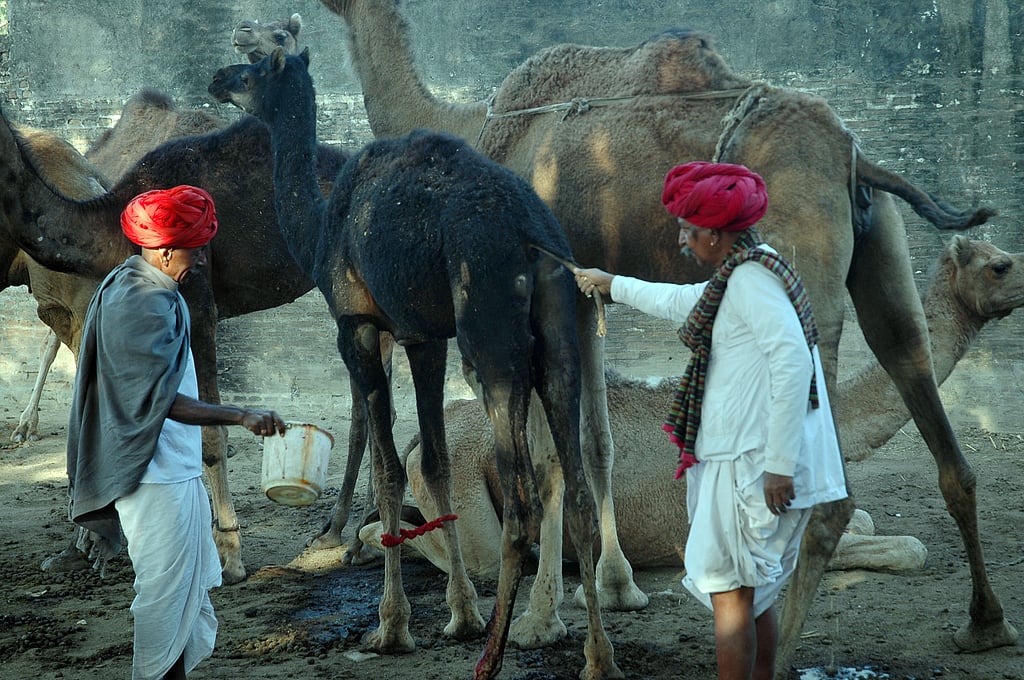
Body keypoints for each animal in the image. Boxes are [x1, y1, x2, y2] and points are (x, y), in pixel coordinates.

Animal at [208, 47, 621, 680]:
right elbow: (434, 462)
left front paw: (392, 626)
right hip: (559, 332)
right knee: (576, 494)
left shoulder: (357, 325)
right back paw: (598, 658)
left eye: (252, 68)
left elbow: (389, 470)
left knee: (521, 502)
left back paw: (492, 657)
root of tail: (532, 236)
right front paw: (460, 614)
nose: (216, 78)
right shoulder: (424, 336)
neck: (320, 228)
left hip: (489, 331)